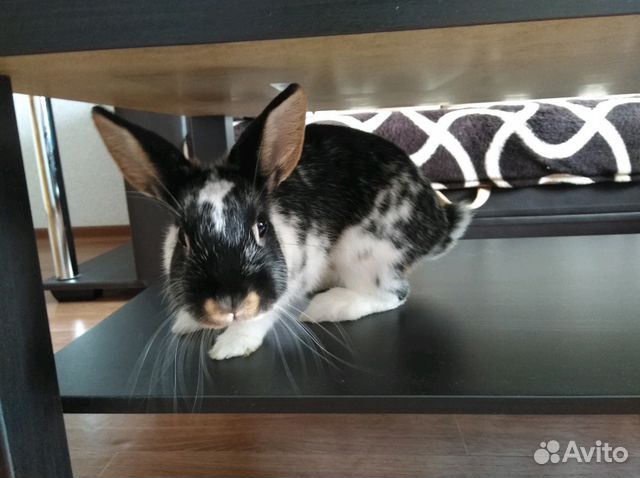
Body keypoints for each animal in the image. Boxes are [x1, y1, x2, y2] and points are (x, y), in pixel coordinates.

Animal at [92, 84, 471, 360]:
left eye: (260, 227)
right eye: (183, 238)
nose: (230, 302)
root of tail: (439, 222)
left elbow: (260, 316)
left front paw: (230, 346)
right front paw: (186, 323)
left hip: (367, 254)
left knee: (392, 294)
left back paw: (327, 307)